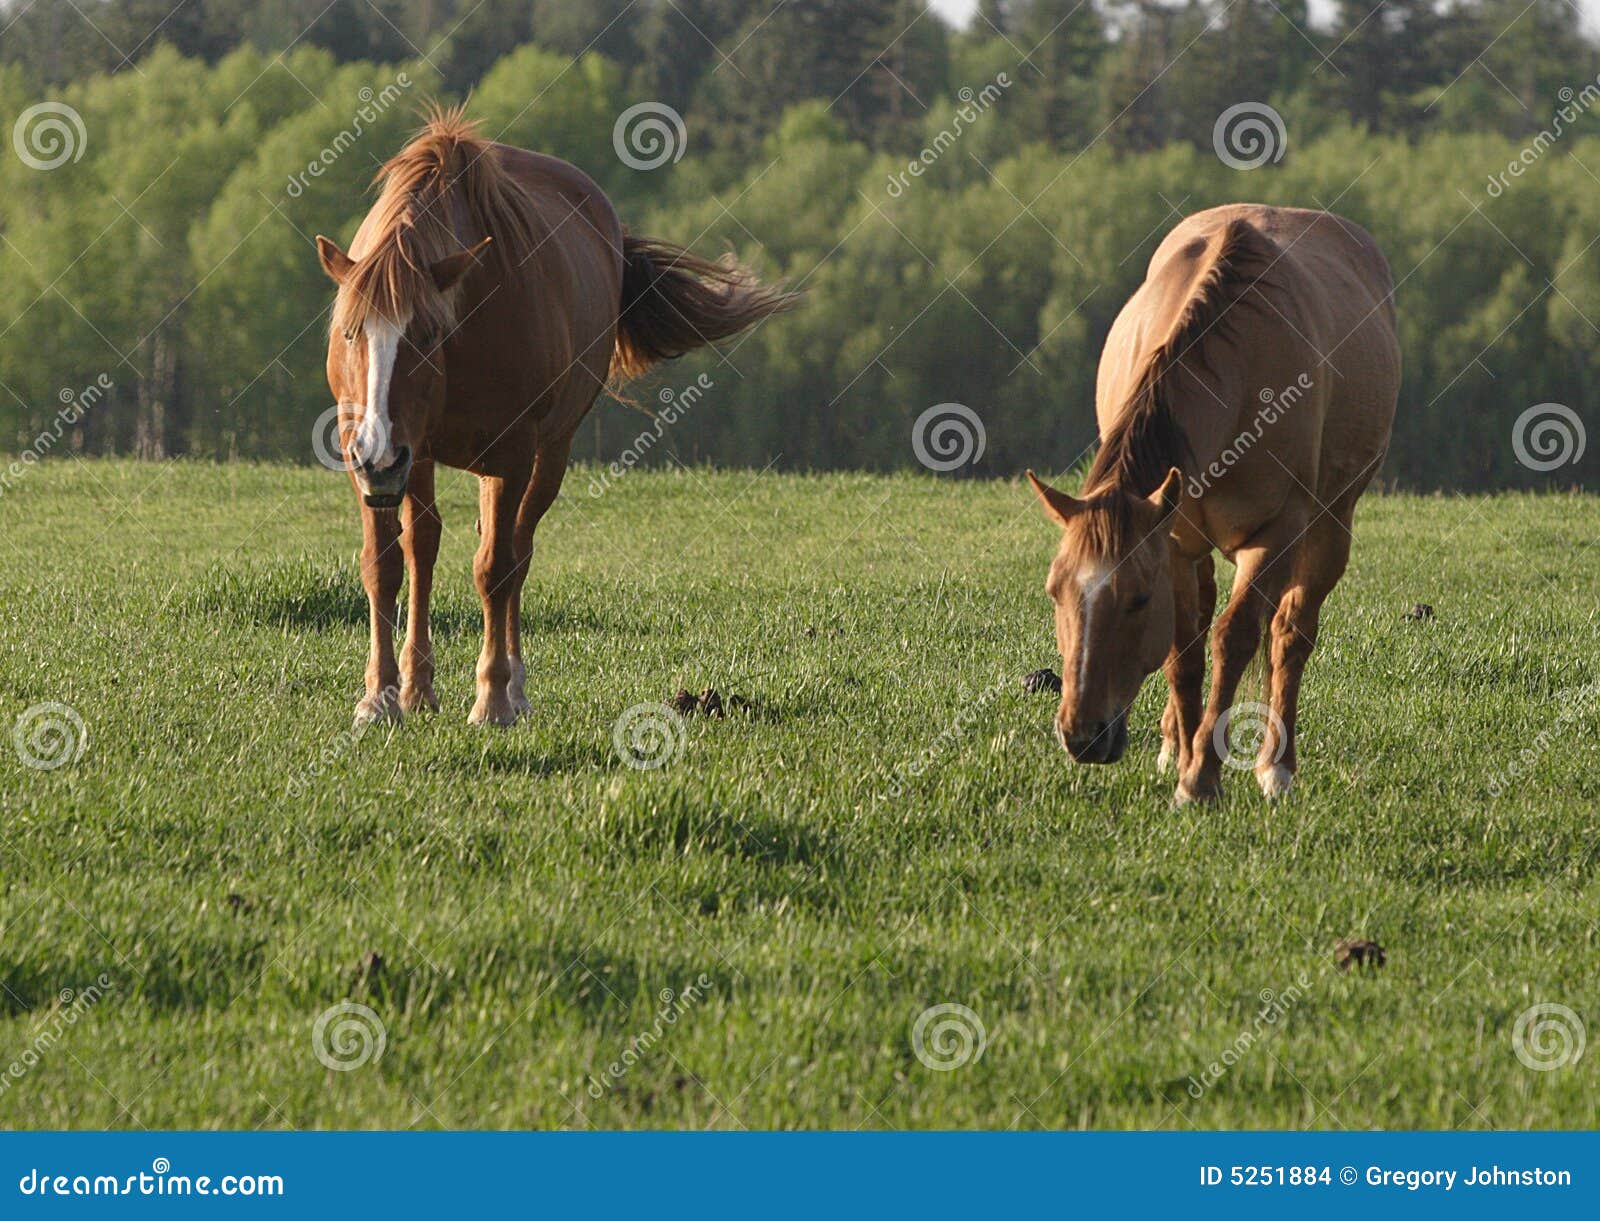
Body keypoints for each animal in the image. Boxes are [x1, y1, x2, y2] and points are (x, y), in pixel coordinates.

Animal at [316, 106, 796, 727]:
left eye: (426, 335)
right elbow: (386, 564)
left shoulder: (511, 453)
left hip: (547, 454)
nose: (378, 455)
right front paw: (380, 696)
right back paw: (419, 687)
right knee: (425, 546)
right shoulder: (379, 452)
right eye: (351, 332)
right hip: (419, 459)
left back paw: (511, 686)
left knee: (517, 550)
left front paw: (494, 697)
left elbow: (496, 568)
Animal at [1027, 204, 1399, 801]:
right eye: (1054, 591)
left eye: (1136, 600)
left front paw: (1201, 777)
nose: (1083, 736)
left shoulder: (1276, 533)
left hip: (1330, 526)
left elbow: (1237, 637)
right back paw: (1173, 740)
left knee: (1289, 634)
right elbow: (1184, 651)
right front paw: (1184, 757)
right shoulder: (1174, 542)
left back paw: (1275, 766)